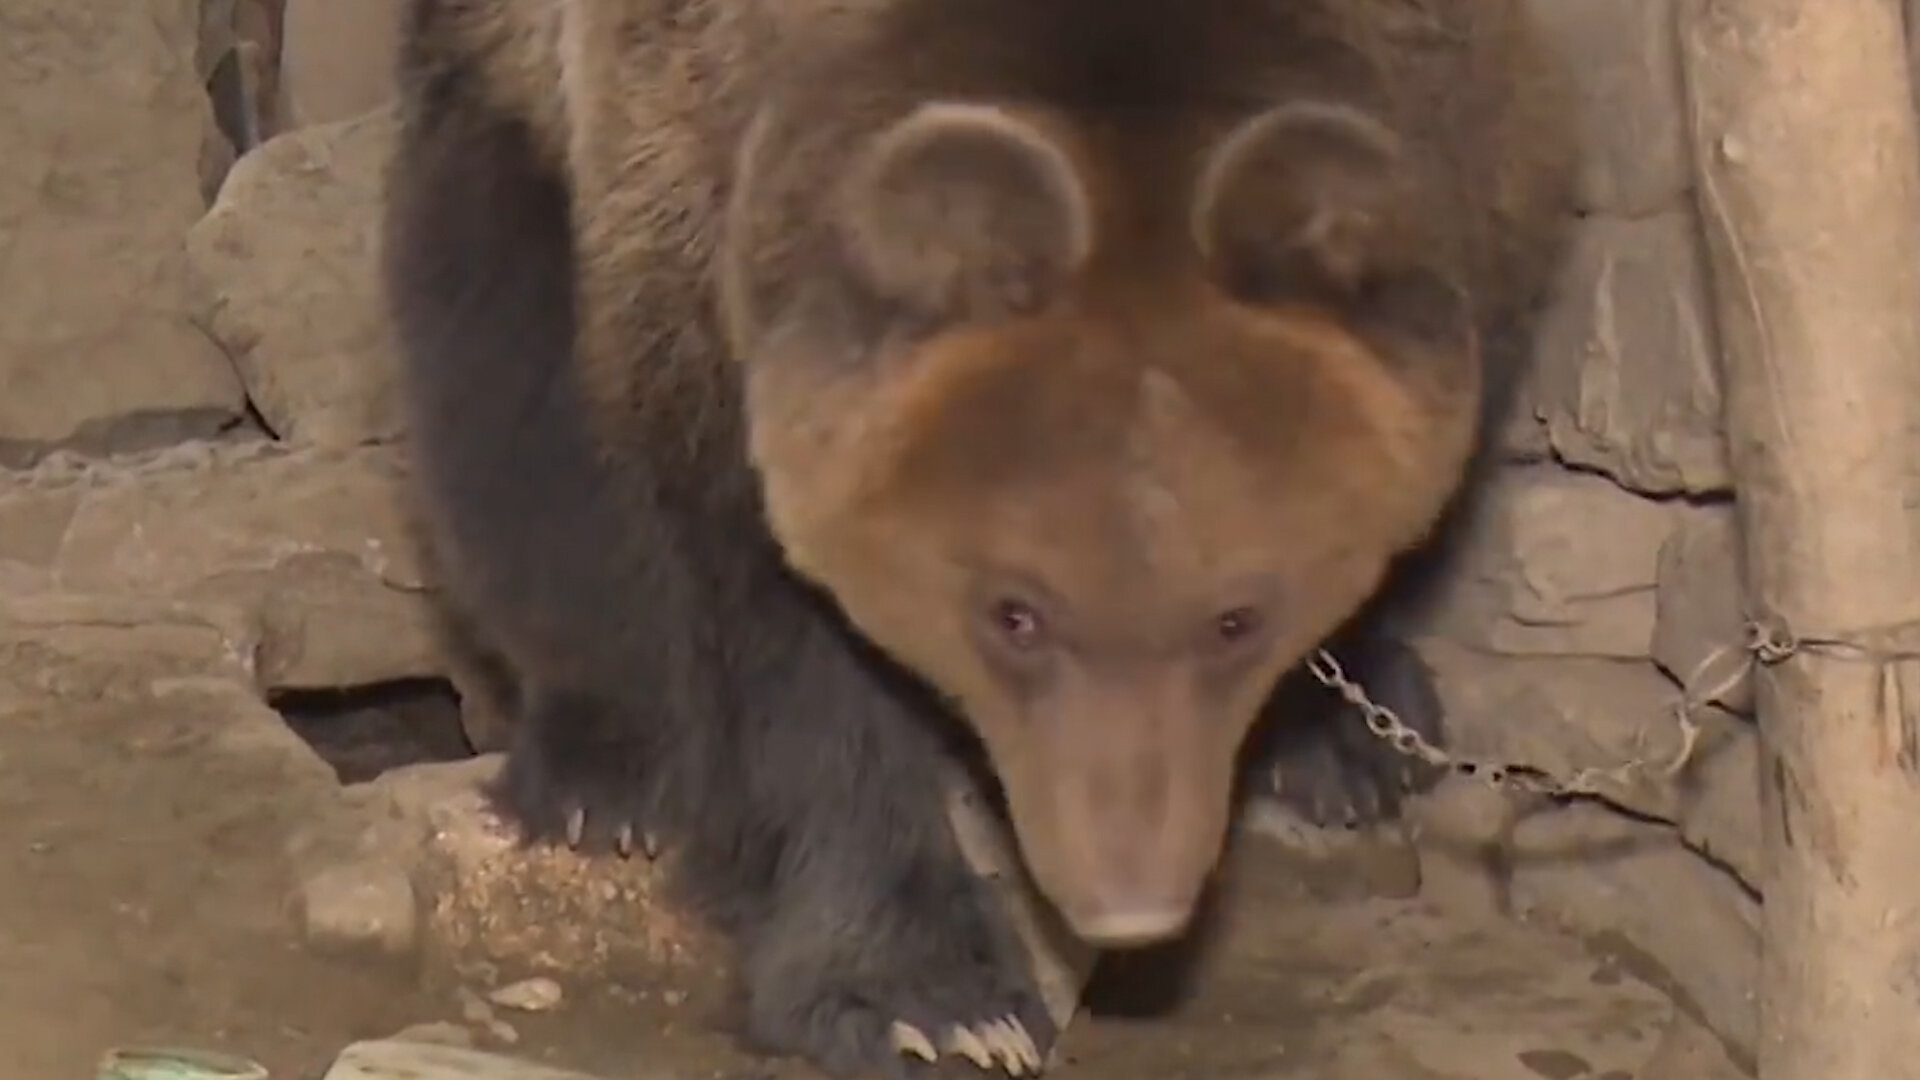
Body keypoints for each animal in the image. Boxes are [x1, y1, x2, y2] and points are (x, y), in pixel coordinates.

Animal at [380, 0, 1577, 1077]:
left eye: (1239, 615)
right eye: (1014, 614)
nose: (1128, 896)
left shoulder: (1476, 121)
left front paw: (1348, 733)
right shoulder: (694, 177)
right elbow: (767, 611)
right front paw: (927, 997)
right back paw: (605, 768)